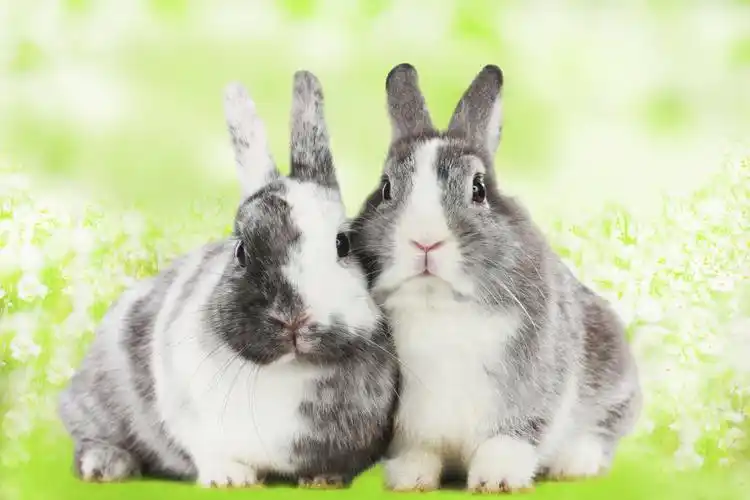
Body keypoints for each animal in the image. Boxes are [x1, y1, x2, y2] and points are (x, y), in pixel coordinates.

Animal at [58, 70, 398, 489]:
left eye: (342, 243)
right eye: (241, 251)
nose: (293, 318)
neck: (290, 371)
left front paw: (324, 480)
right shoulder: (190, 418)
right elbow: (212, 453)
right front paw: (232, 480)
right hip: (95, 403)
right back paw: (107, 466)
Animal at [349, 63, 642, 493]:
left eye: (479, 188)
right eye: (386, 188)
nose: (425, 240)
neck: (437, 306)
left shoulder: (532, 395)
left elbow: (510, 439)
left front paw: (497, 479)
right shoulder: (410, 427)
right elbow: (419, 451)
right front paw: (410, 479)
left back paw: (574, 463)